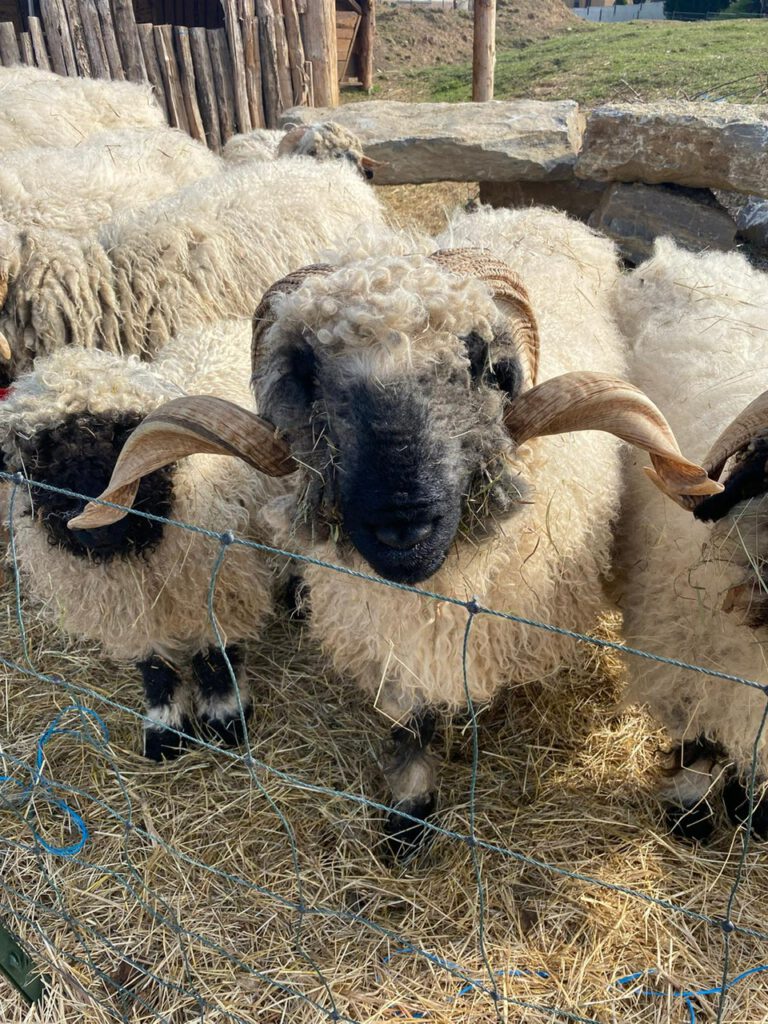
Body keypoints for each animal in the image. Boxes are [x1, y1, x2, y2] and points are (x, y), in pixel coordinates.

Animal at [1, 319, 292, 760]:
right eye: (35, 456)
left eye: (120, 436)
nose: (83, 523)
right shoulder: (131, 610)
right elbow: (155, 668)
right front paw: (164, 731)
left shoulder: (221, 584)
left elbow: (216, 656)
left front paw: (226, 719)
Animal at [73, 207, 716, 856]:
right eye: (306, 373)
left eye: (480, 361)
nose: (403, 527)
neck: (430, 593)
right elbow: (412, 723)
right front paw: (409, 814)